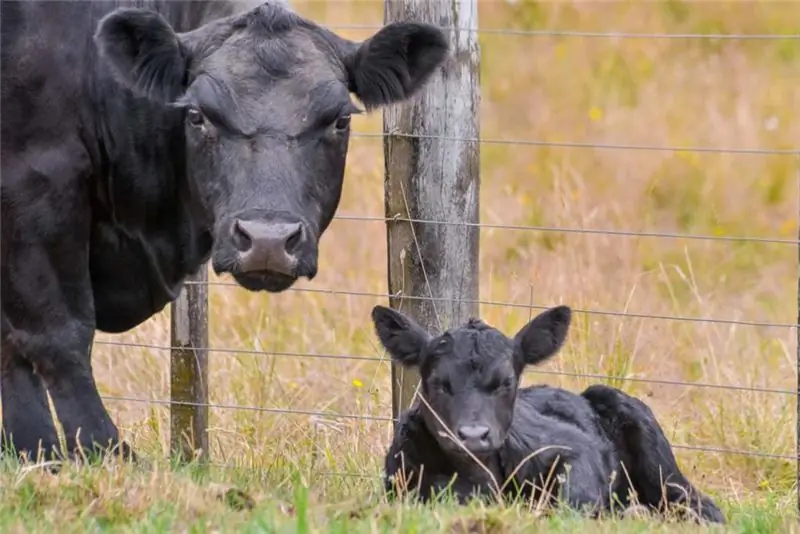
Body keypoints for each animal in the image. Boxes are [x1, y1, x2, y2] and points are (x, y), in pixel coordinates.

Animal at [0, 1, 450, 464]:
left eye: (340, 120)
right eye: (197, 116)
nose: (268, 241)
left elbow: (11, 347)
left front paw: (33, 453)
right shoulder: (36, 178)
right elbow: (59, 334)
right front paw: (103, 454)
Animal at [372, 304, 728, 524]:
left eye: (507, 382)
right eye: (437, 383)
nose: (473, 435)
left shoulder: (574, 447)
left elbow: (576, 493)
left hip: (661, 465)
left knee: (697, 504)